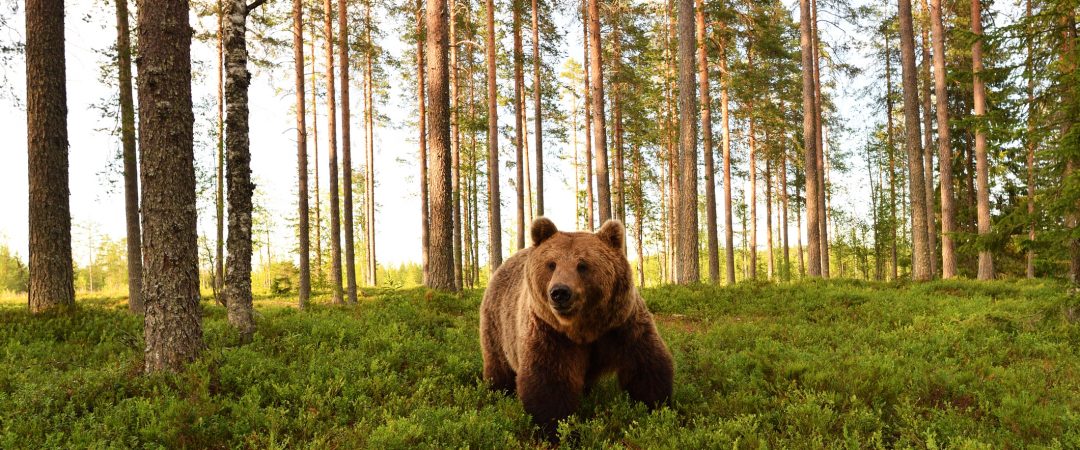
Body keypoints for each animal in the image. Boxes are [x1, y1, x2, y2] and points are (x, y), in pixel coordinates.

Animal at [479, 217, 675, 433]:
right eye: (551, 264)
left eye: (582, 265)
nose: (560, 292)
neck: (584, 327)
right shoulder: (550, 332)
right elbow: (549, 381)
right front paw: (556, 428)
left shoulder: (622, 324)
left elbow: (645, 365)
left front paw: (656, 407)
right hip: (497, 325)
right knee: (499, 365)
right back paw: (498, 392)